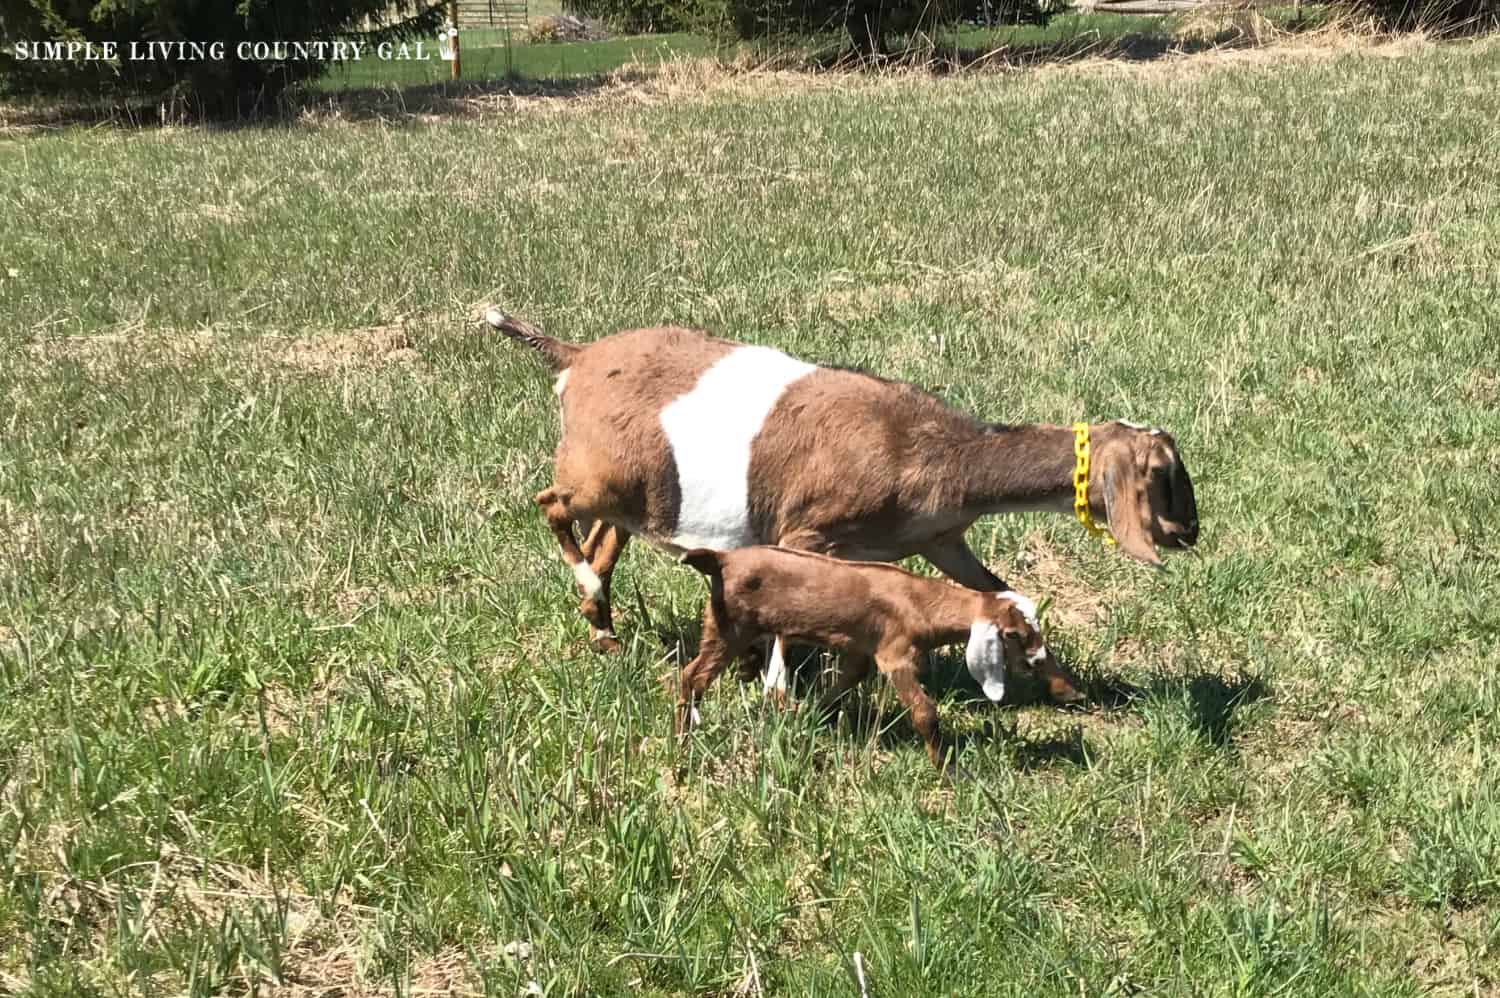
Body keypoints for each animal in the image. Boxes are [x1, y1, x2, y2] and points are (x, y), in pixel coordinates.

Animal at [488, 311, 1198, 703]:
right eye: (1163, 475)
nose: (1189, 531)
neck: (937, 452)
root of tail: (577, 358)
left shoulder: (941, 540)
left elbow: (1000, 589)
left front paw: (1066, 686)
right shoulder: (807, 533)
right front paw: (776, 689)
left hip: (639, 491)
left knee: (605, 541)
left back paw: (603, 631)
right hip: (594, 474)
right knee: (551, 503)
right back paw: (587, 588)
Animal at [677, 546, 1049, 770]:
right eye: (1013, 635)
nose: (1039, 660)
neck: (919, 601)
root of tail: (721, 558)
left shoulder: (861, 648)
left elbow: (849, 678)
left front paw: (812, 714)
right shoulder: (894, 652)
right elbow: (925, 713)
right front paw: (945, 766)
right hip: (731, 627)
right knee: (692, 677)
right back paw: (683, 739)